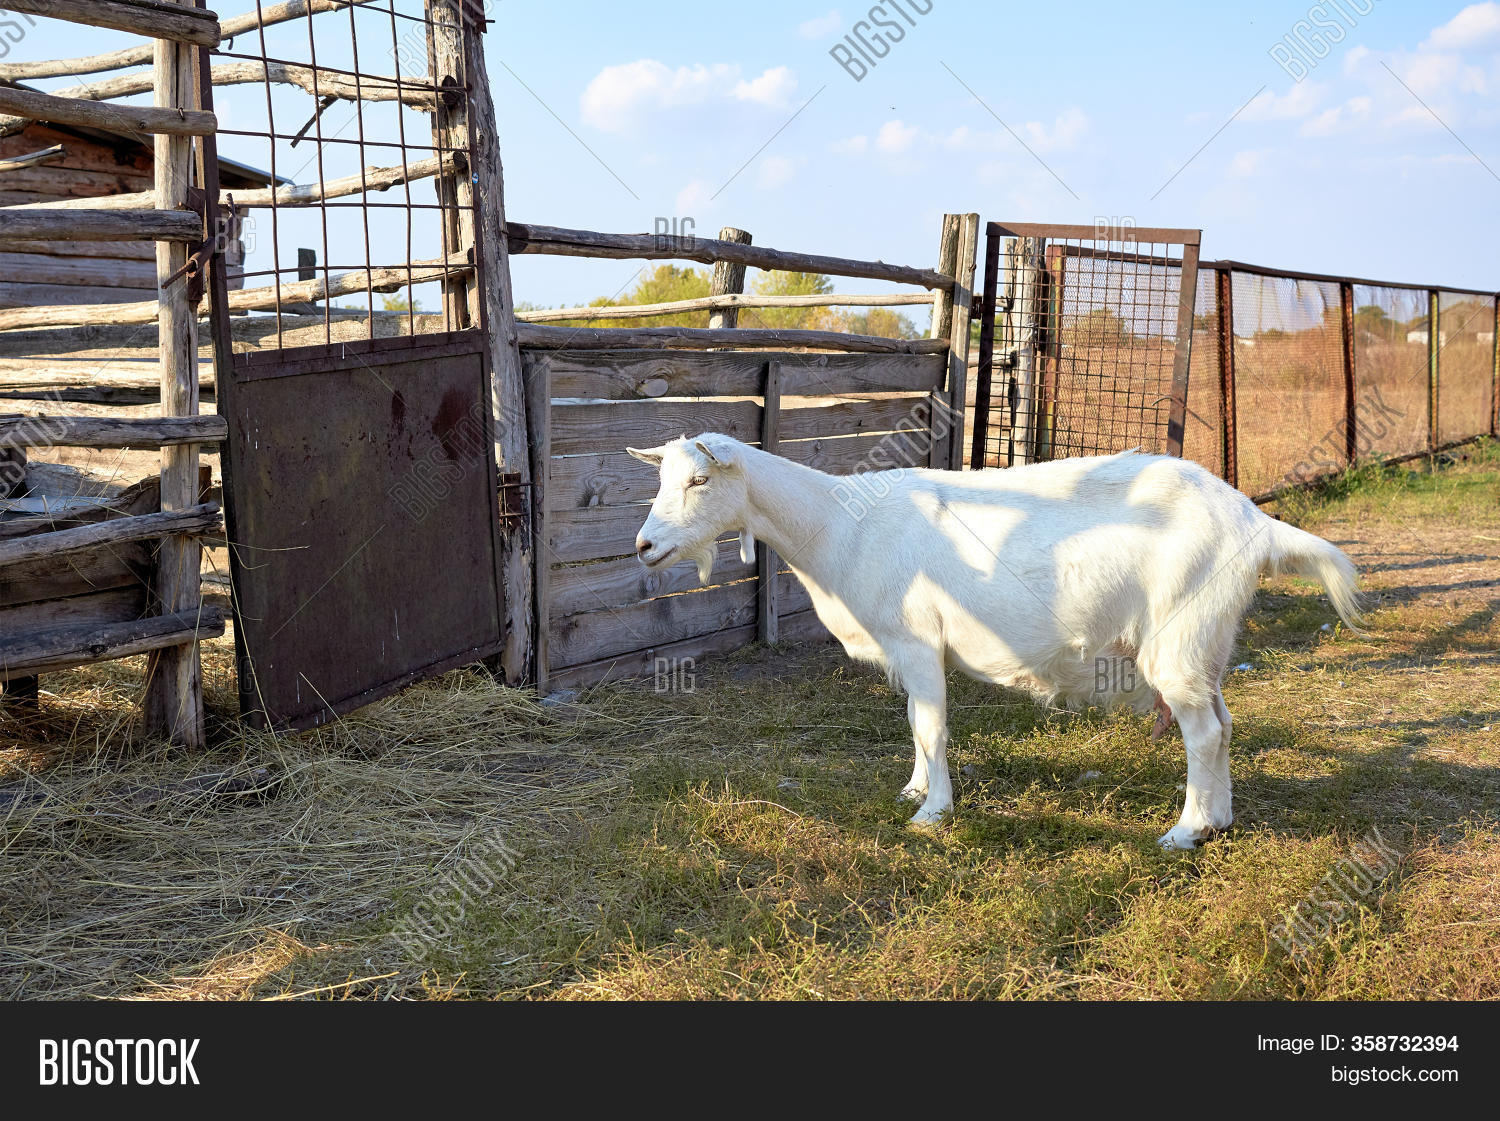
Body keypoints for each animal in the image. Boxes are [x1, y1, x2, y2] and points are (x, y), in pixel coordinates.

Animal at [628, 434, 1362, 849]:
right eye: (661, 478)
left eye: (700, 480)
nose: (644, 546)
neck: (839, 525)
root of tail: (1255, 523)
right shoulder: (909, 650)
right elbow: (914, 721)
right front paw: (915, 790)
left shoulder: (917, 638)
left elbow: (931, 725)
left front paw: (933, 813)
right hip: (1206, 640)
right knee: (1225, 723)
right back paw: (1222, 817)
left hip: (1179, 636)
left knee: (1203, 733)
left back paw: (1186, 831)